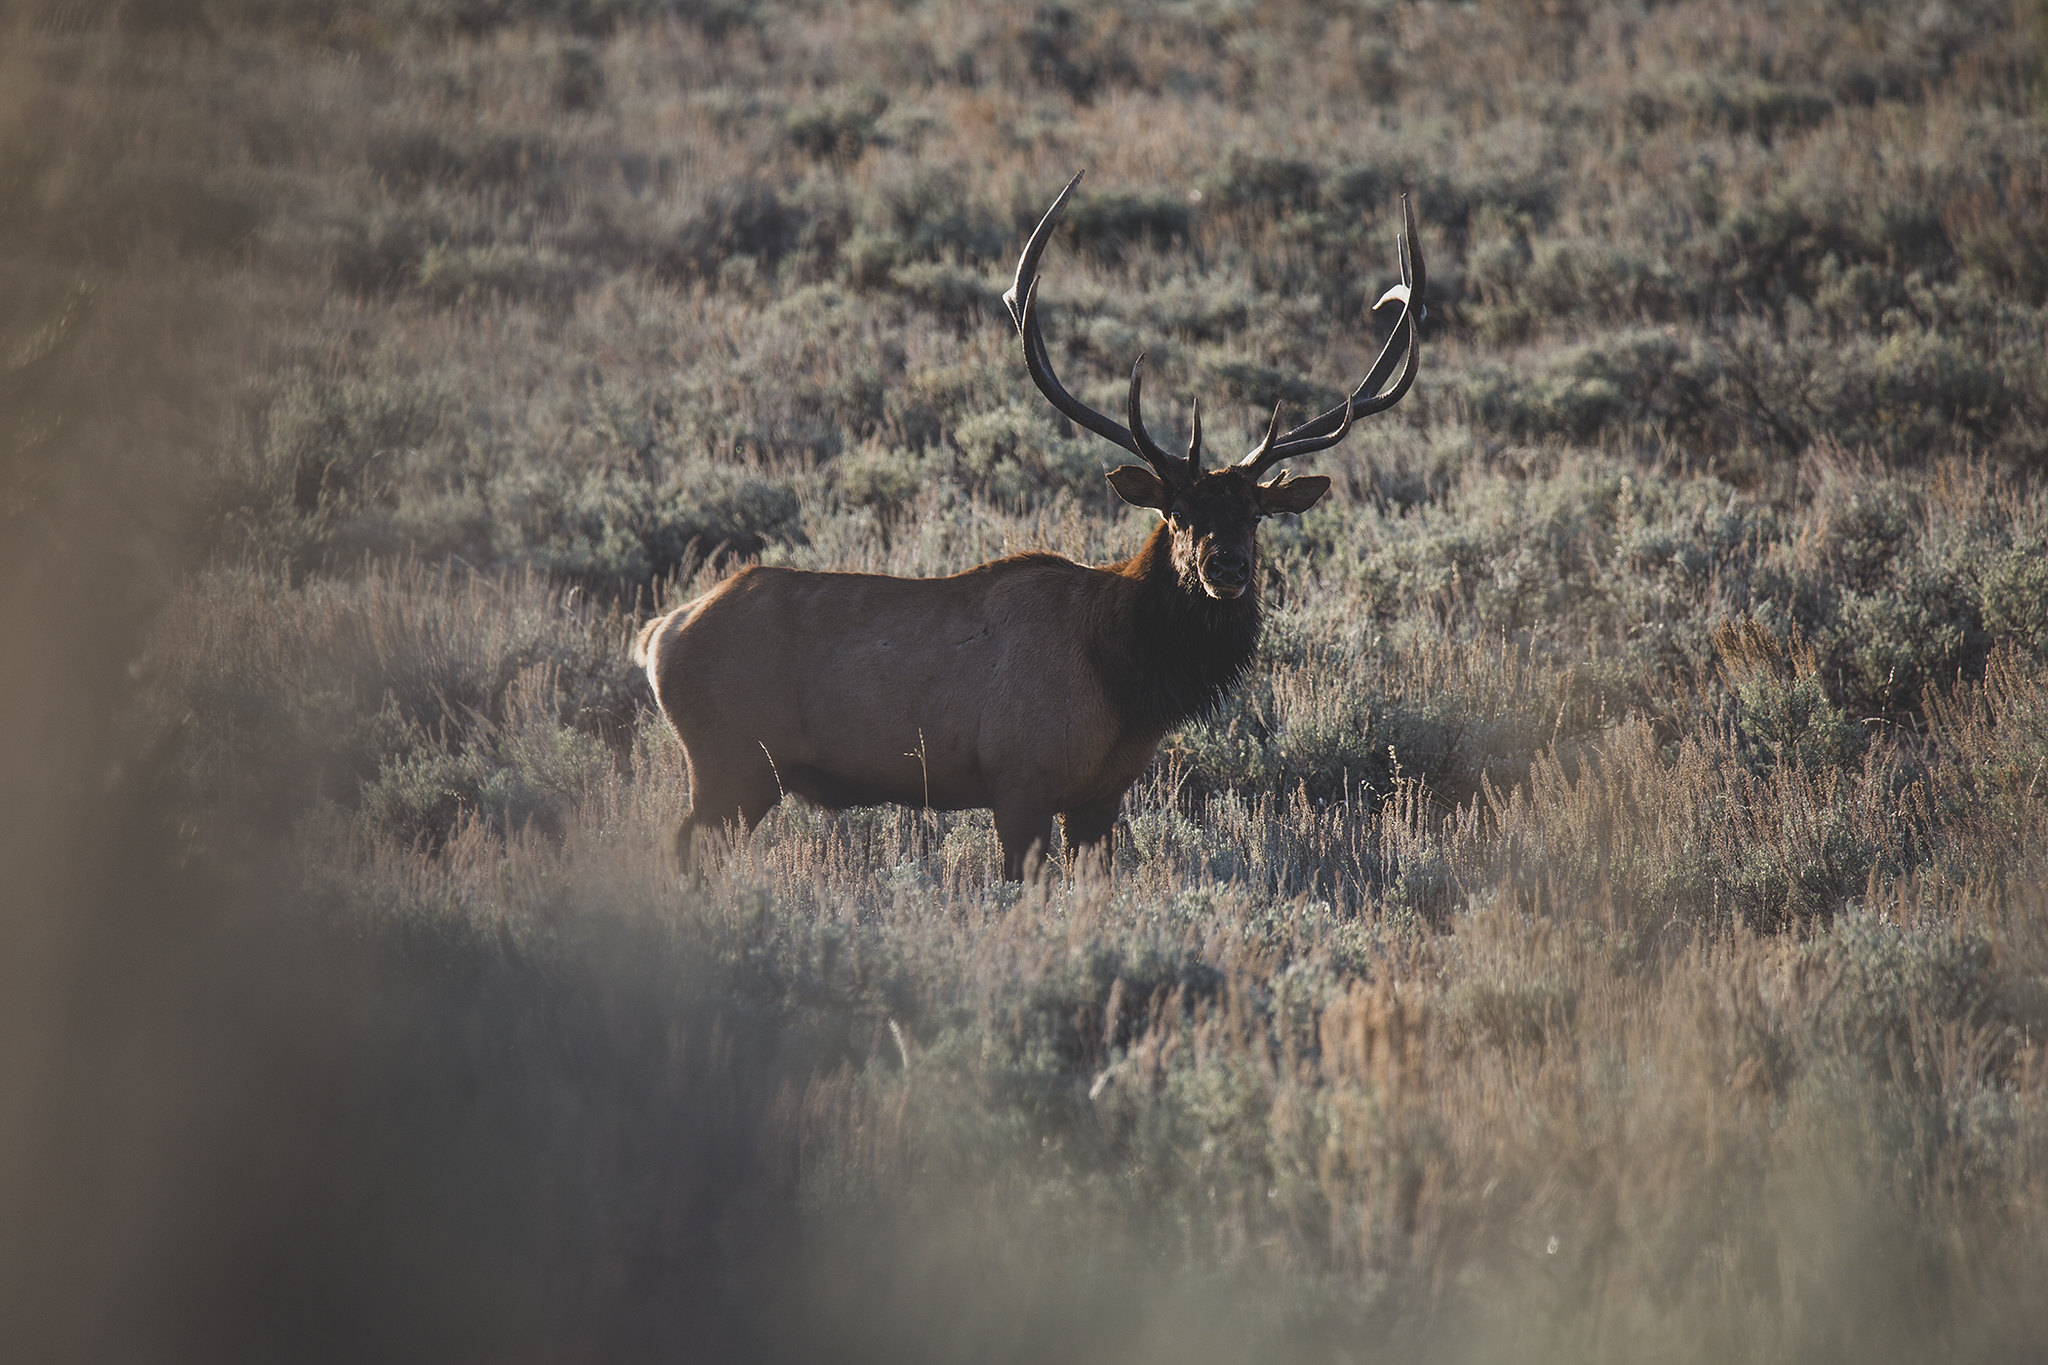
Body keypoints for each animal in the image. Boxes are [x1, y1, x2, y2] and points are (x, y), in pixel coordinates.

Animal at [635, 171, 1425, 879]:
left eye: (1256, 515)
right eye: (1177, 512)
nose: (1225, 567)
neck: (1125, 678)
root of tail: (658, 635)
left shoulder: (1101, 795)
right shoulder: (1019, 780)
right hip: (730, 765)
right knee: (678, 848)